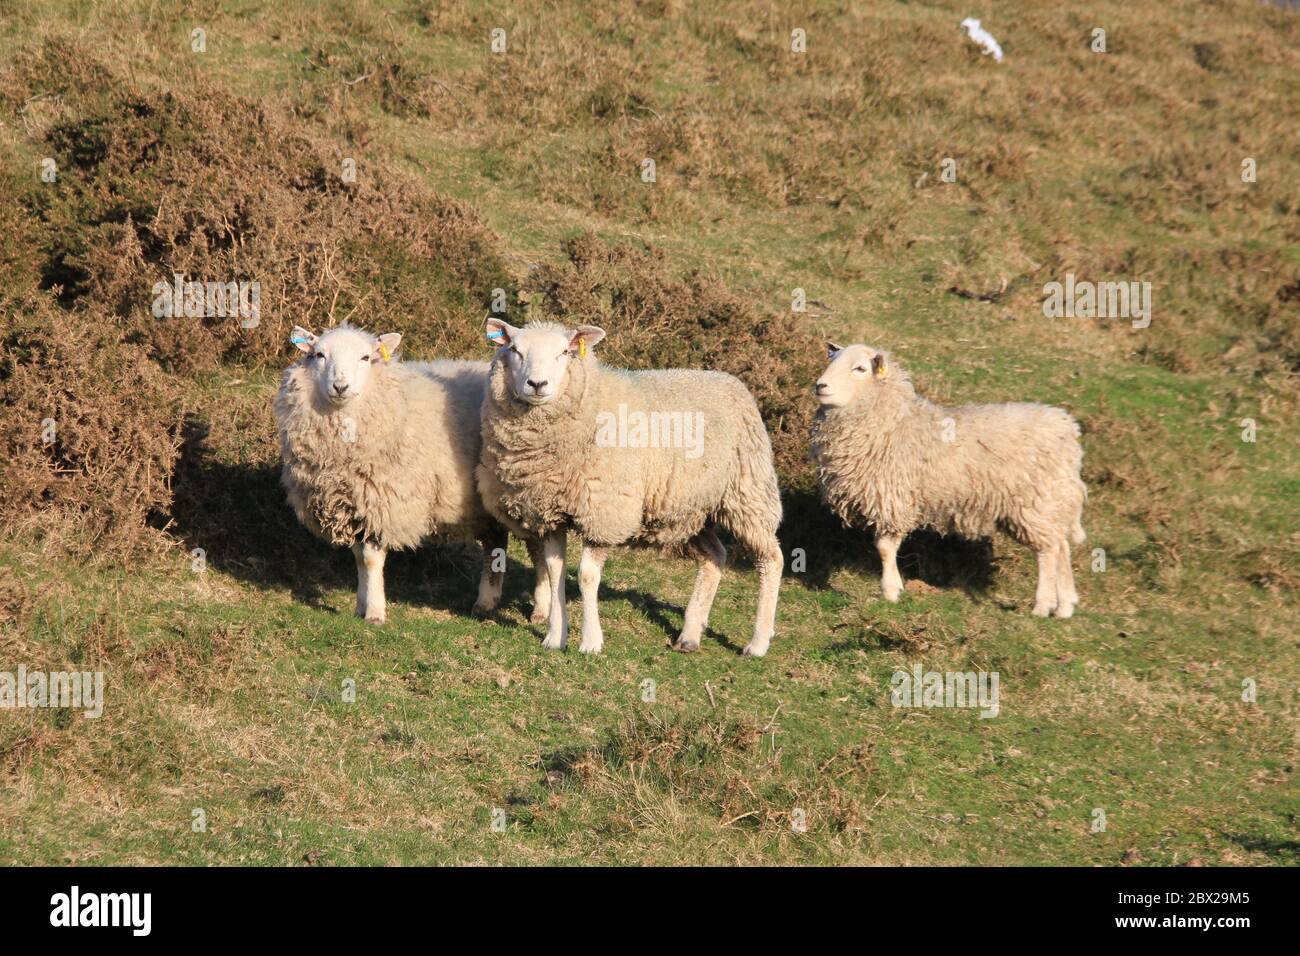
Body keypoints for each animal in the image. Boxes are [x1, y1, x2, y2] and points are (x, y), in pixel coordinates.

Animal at [273, 323, 547, 625]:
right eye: (319, 355)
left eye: (365, 358)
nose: (340, 387)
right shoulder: (355, 505)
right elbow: (358, 558)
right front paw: (360, 606)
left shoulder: (383, 502)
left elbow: (371, 559)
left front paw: (375, 613)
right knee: (495, 543)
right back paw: (486, 602)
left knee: (538, 549)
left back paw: (541, 610)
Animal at [477, 319, 784, 657]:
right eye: (514, 350)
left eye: (565, 352)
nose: (537, 384)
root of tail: (731, 381)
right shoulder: (551, 513)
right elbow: (555, 572)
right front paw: (555, 638)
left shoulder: (604, 511)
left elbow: (586, 576)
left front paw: (590, 642)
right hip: (689, 508)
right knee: (714, 557)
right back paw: (690, 635)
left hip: (748, 491)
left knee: (772, 559)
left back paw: (758, 642)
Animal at [810, 343, 1086, 618]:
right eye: (833, 360)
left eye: (860, 368)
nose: (820, 385)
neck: (893, 421)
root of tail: (1067, 429)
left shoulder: (893, 498)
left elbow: (885, 548)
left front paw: (890, 591)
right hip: (1047, 501)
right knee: (1061, 545)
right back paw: (1065, 606)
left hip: (1035, 500)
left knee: (1048, 551)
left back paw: (1043, 605)